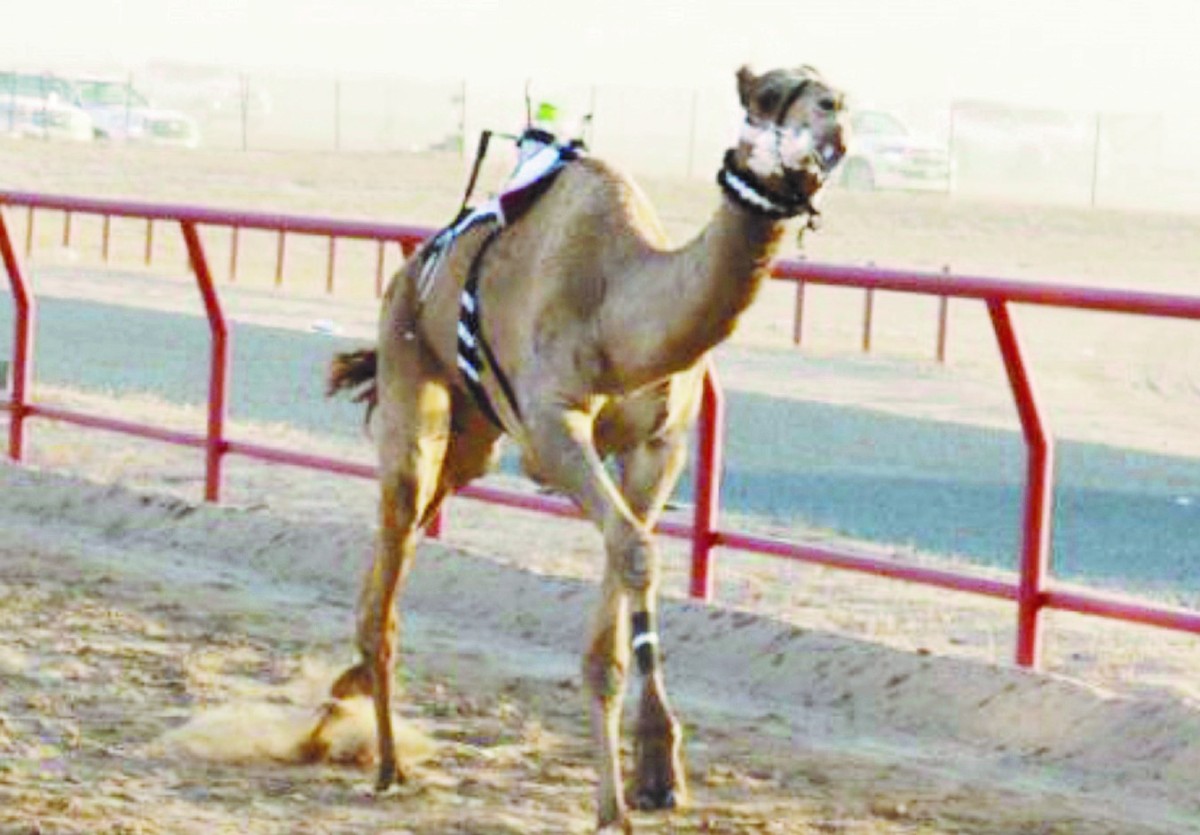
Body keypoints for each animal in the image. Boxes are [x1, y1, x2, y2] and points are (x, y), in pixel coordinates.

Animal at [315, 65, 847, 833]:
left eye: (833, 93)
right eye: (768, 97)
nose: (832, 115)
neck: (619, 310)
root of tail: (412, 270)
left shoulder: (659, 447)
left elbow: (629, 562)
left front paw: (651, 776)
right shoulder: (552, 429)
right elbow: (634, 549)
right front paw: (629, 791)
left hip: (475, 436)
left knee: (407, 534)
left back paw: (346, 693)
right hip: (410, 364)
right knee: (400, 520)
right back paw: (386, 759)